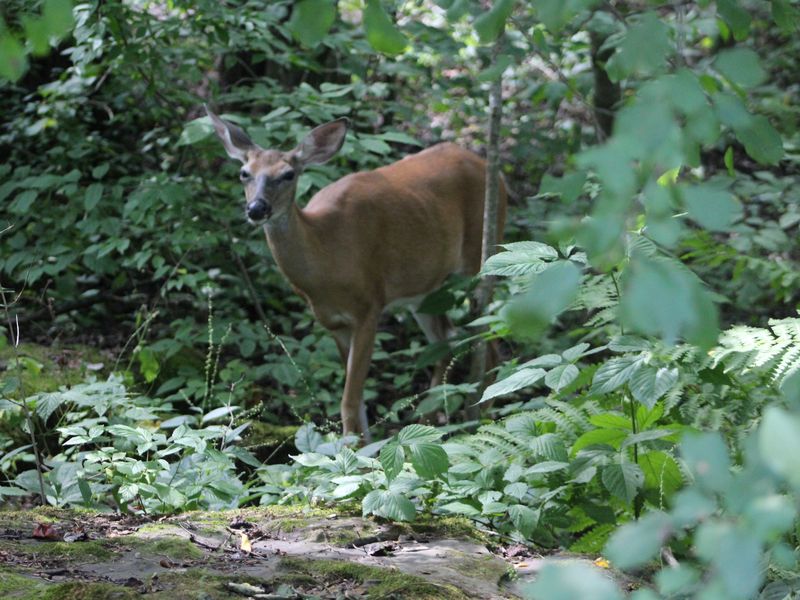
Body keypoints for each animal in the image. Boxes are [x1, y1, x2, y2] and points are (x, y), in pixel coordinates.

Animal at [206, 106, 507, 439]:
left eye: (288, 174)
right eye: (244, 173)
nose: (257, 208)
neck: (328, 258)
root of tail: (493, 170)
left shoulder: (369, 306)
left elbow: (349, 402)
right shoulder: (334, 322)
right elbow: (358, 401)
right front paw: (362, 445)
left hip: (483, 258)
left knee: (492, 344)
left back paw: (480, 419)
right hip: (425, 291)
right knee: (445, 341)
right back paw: (429, 422)